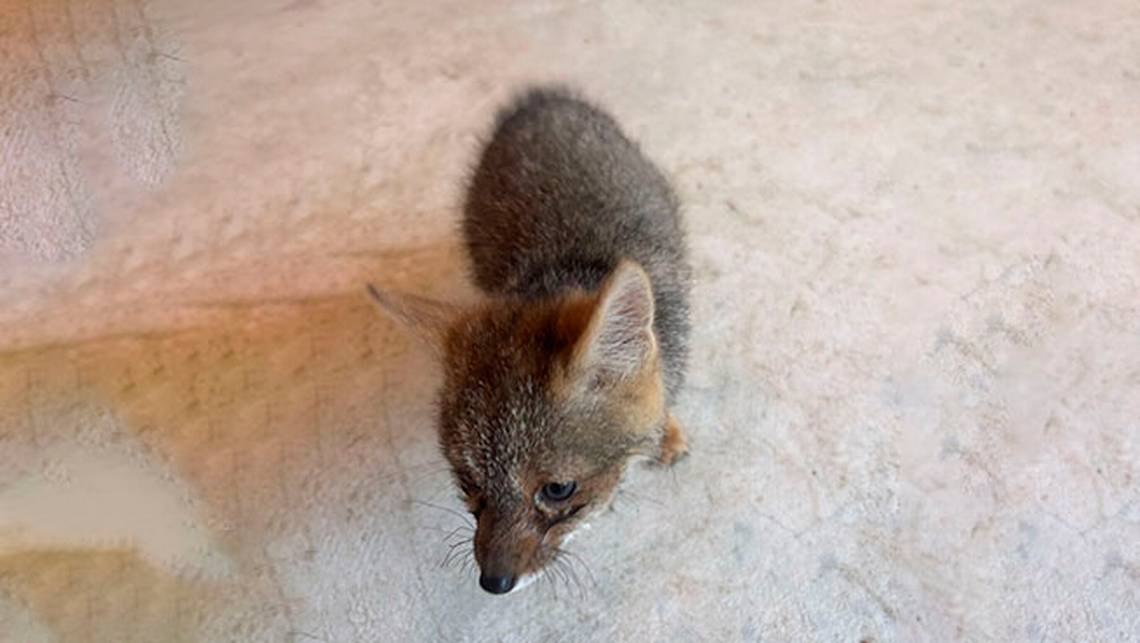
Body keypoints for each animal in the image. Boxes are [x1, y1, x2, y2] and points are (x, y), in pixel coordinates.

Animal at [368, 86, 691, 595]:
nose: (493, 582)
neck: (564, 273)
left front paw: (666, 430)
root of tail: (541, 99)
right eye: (468, 481)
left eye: (558, 490)